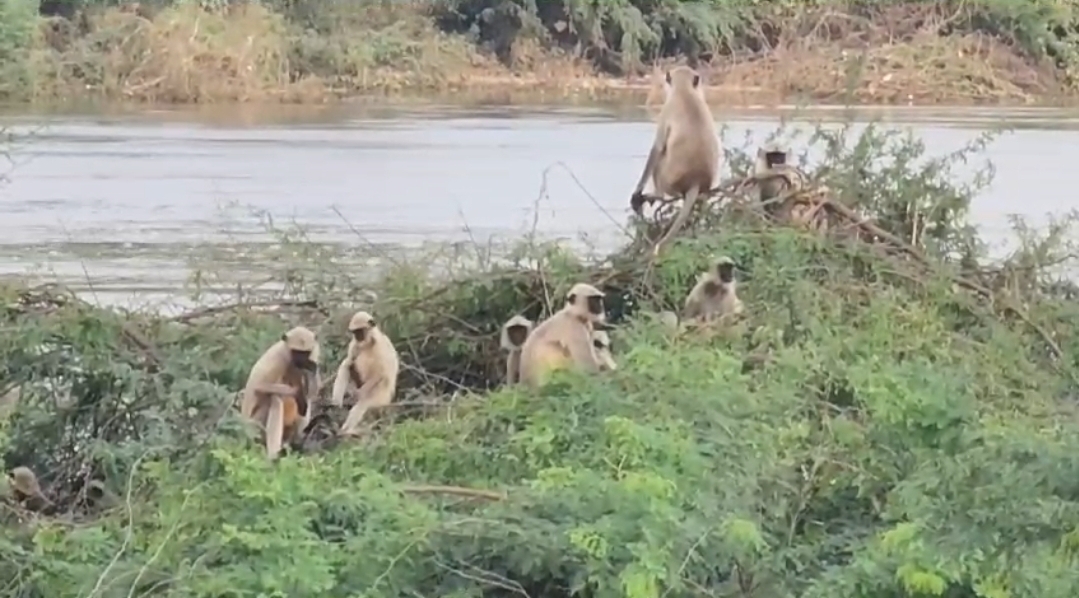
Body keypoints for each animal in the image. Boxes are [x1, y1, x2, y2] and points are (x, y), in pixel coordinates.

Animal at [241, 326, 321, 459]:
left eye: (305, 353)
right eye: (296, 352)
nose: (301, 361)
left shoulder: (312, 356)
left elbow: (312, 393)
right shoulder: (279, 357)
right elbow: (259, 385)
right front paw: (298, 393)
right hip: (255, 424)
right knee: (275, 398)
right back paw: (274, 455)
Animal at [629, 65, 721, 256]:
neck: (685, 91)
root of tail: (696, 179)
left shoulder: (666, 110)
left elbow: (657, 149)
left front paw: (637, 192)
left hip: (668, 179)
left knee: (659, 161)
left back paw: (656, 195)